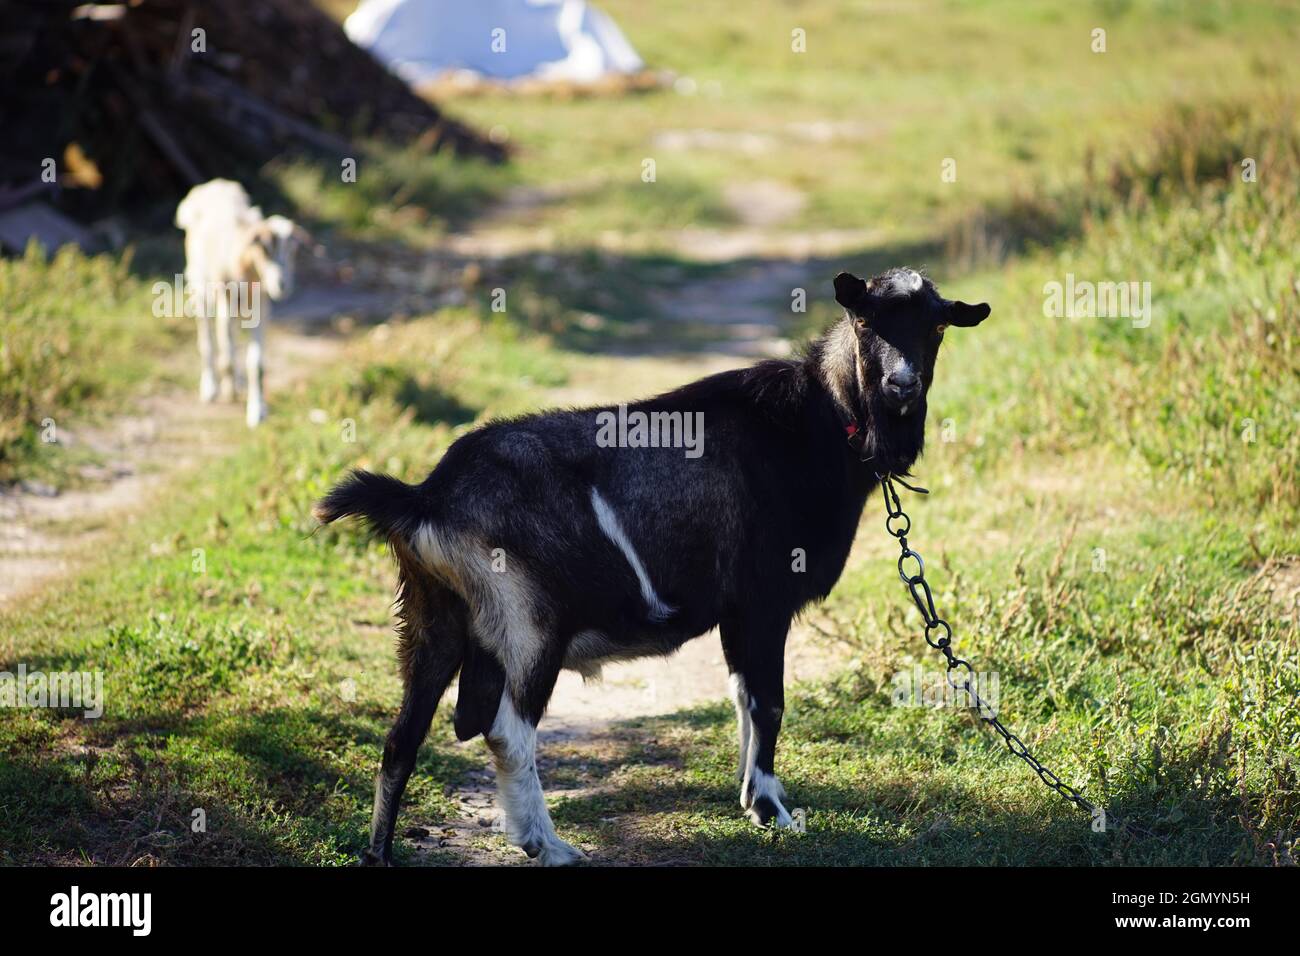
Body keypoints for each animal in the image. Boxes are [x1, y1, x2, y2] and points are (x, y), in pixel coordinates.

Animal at [175, 179, 306, 427]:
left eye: (293, 251)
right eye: (264, 249)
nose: (282, 285)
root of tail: (214, 184)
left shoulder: (261, 307)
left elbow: (256, 363)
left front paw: (257, 411)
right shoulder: (224, 299)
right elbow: (226, 354)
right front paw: (229, 393)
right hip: (200, 286)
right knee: (208, 339)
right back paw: (211, 387)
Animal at [315, 268, 990, 865]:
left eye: (935, 327)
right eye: (866, 320)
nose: (903, 384)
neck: (819, 422)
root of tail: (425, 497)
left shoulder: (736, 615)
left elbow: (741, 697)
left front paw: (749, 797)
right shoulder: (763, 601)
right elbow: (768, 702)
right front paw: (773, 810)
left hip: (432, 621)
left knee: (401, 739)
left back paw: (381, 854)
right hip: (529, 624)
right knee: (508, 728)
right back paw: (548, 845)